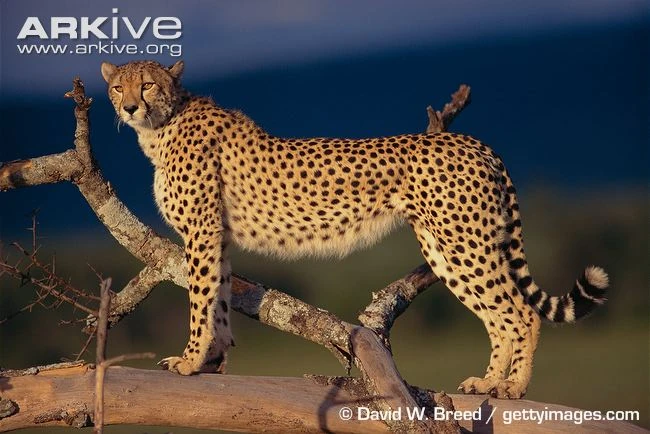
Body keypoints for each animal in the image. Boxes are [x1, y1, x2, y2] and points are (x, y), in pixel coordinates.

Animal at [101, 59, 608, 399]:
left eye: (148, 84)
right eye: (117, 87)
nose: (129, 107)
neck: (163, 125)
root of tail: (472, 141)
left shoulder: (201, 233)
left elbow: (200, 299)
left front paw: (189, 361)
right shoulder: (217, 237)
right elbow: (219, 298)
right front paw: (212, 361)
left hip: (465, 242)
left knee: (520, 312)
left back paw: (512, 388)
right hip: (447, 248)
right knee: (497, 315)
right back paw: (487, 382)